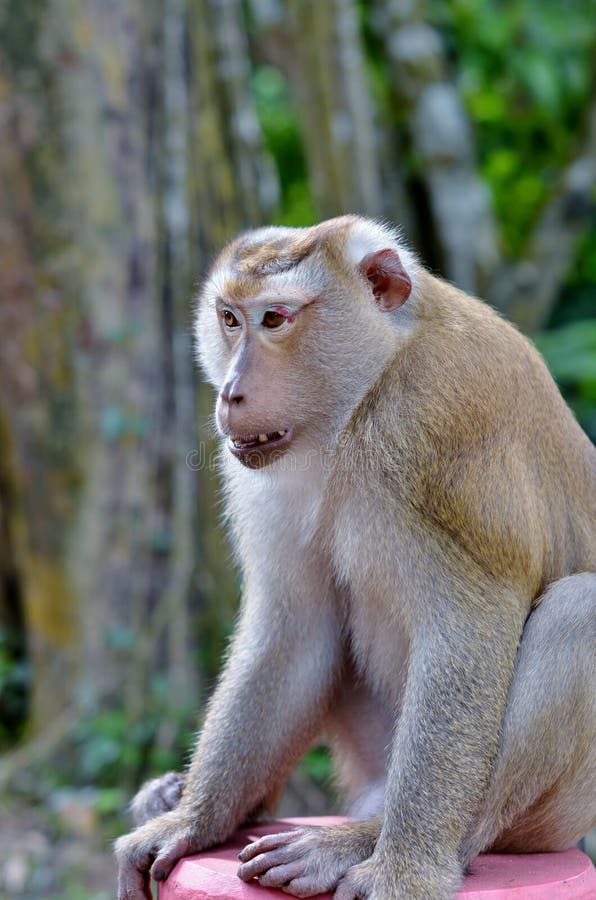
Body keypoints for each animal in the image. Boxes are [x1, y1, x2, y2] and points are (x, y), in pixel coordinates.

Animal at [115, 215, 596, 900]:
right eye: (230, 318)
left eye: (276, 319)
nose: (231, 392)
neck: (367, 390)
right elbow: (297, 629)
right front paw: (190, 820)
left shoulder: (433, 428)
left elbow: (464, 629)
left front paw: (404, 870)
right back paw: (193, 798)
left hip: (559, 817)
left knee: (579, 613)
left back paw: (366, 841)